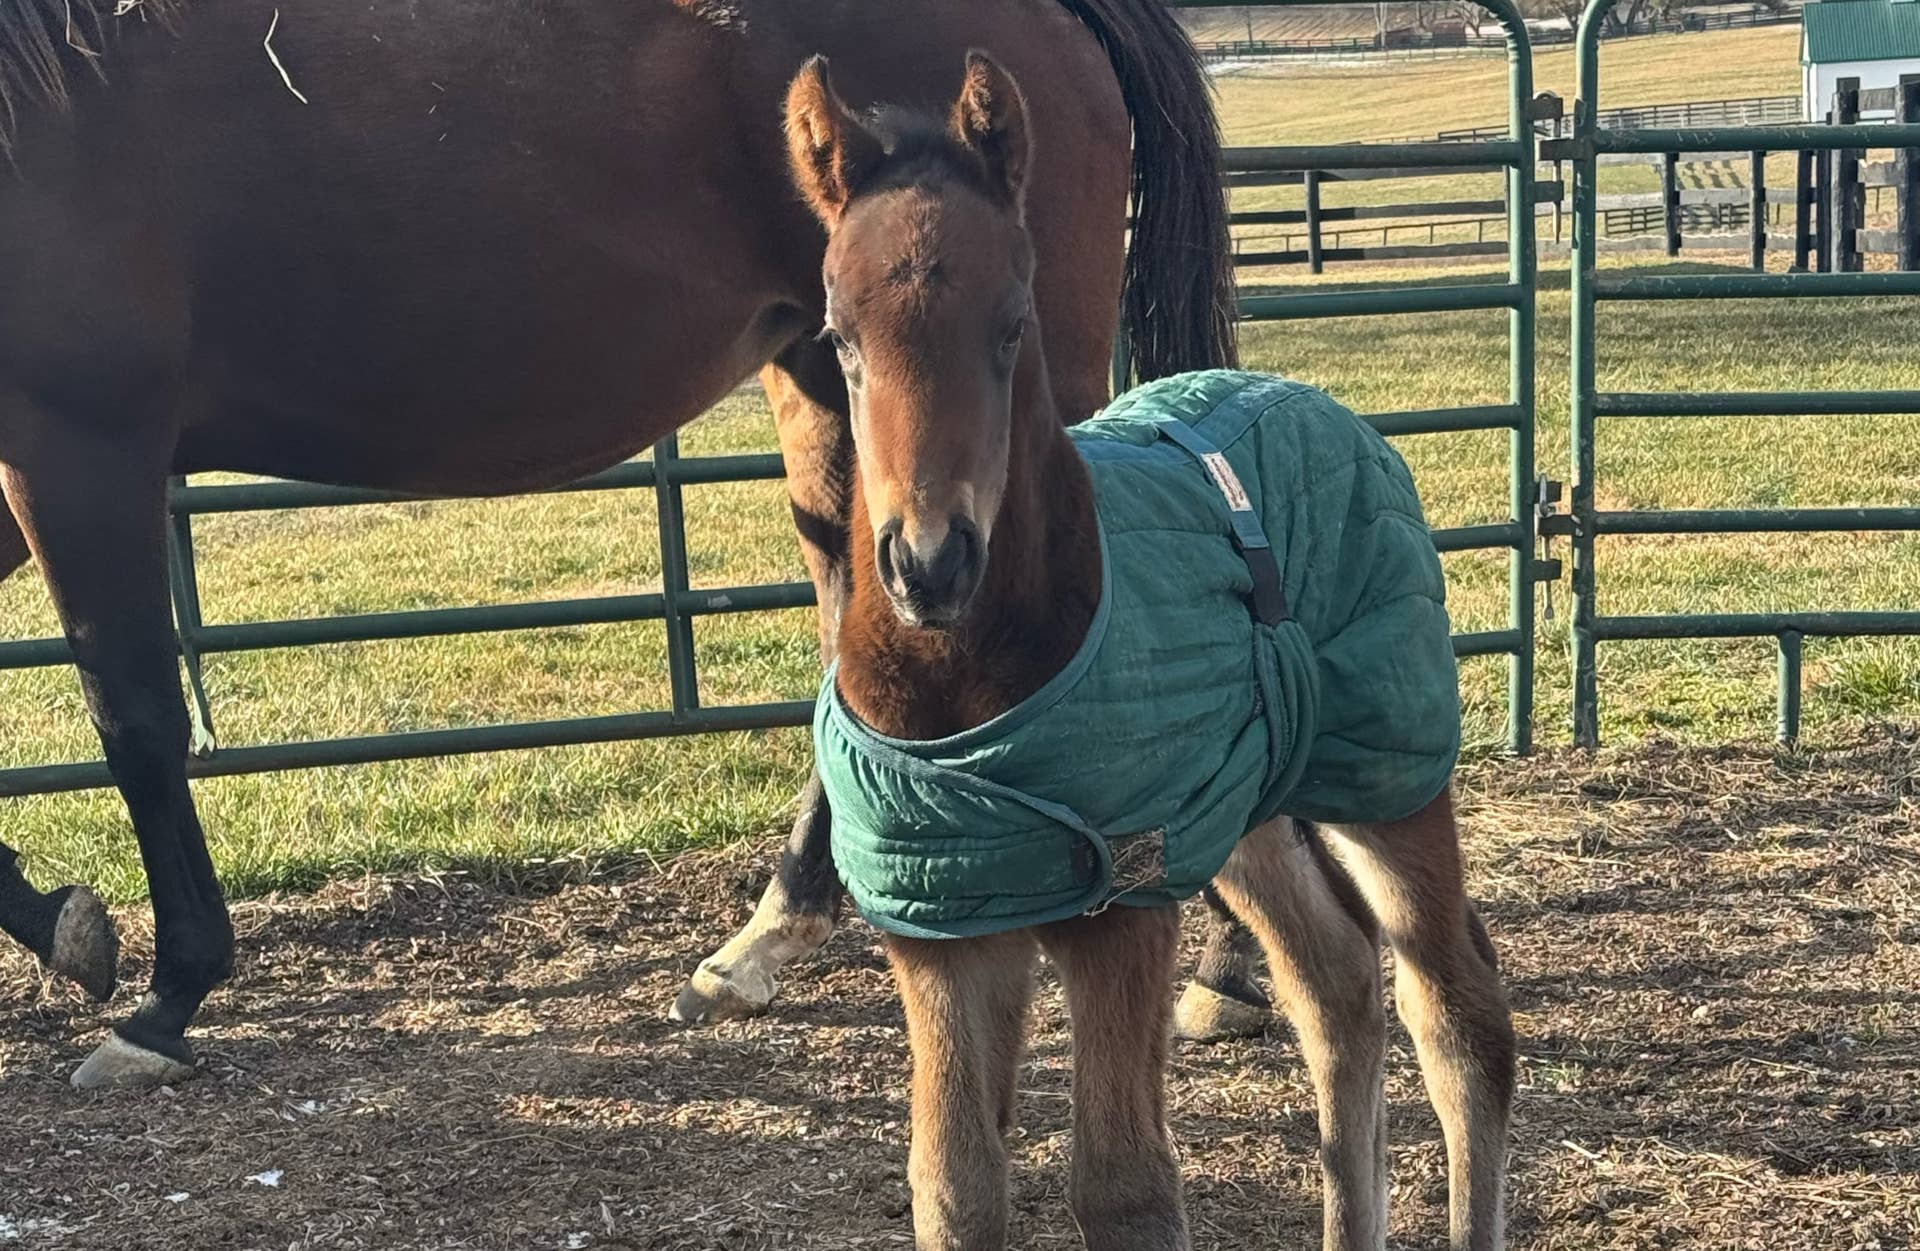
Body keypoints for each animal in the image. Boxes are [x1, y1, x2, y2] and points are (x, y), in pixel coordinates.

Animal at [0, 0, 1238, 1090]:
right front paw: (66, 925)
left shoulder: (79, 448)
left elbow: (135, 724)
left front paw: (163, 1000)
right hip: (832, 391)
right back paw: (769, 938)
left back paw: (1222, 959)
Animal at [791, 54, 1516, 1251]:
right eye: (839, 338)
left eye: (1014, 323)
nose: (929, 562)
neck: (967, 700)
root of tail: (1298, 393)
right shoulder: (942, 927)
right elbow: (954, 1183)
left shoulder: (1123, 904)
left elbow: (1125, 1184)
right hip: (1246, 805)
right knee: (1336, 983)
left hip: (1387, 774)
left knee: (1459, 1016)